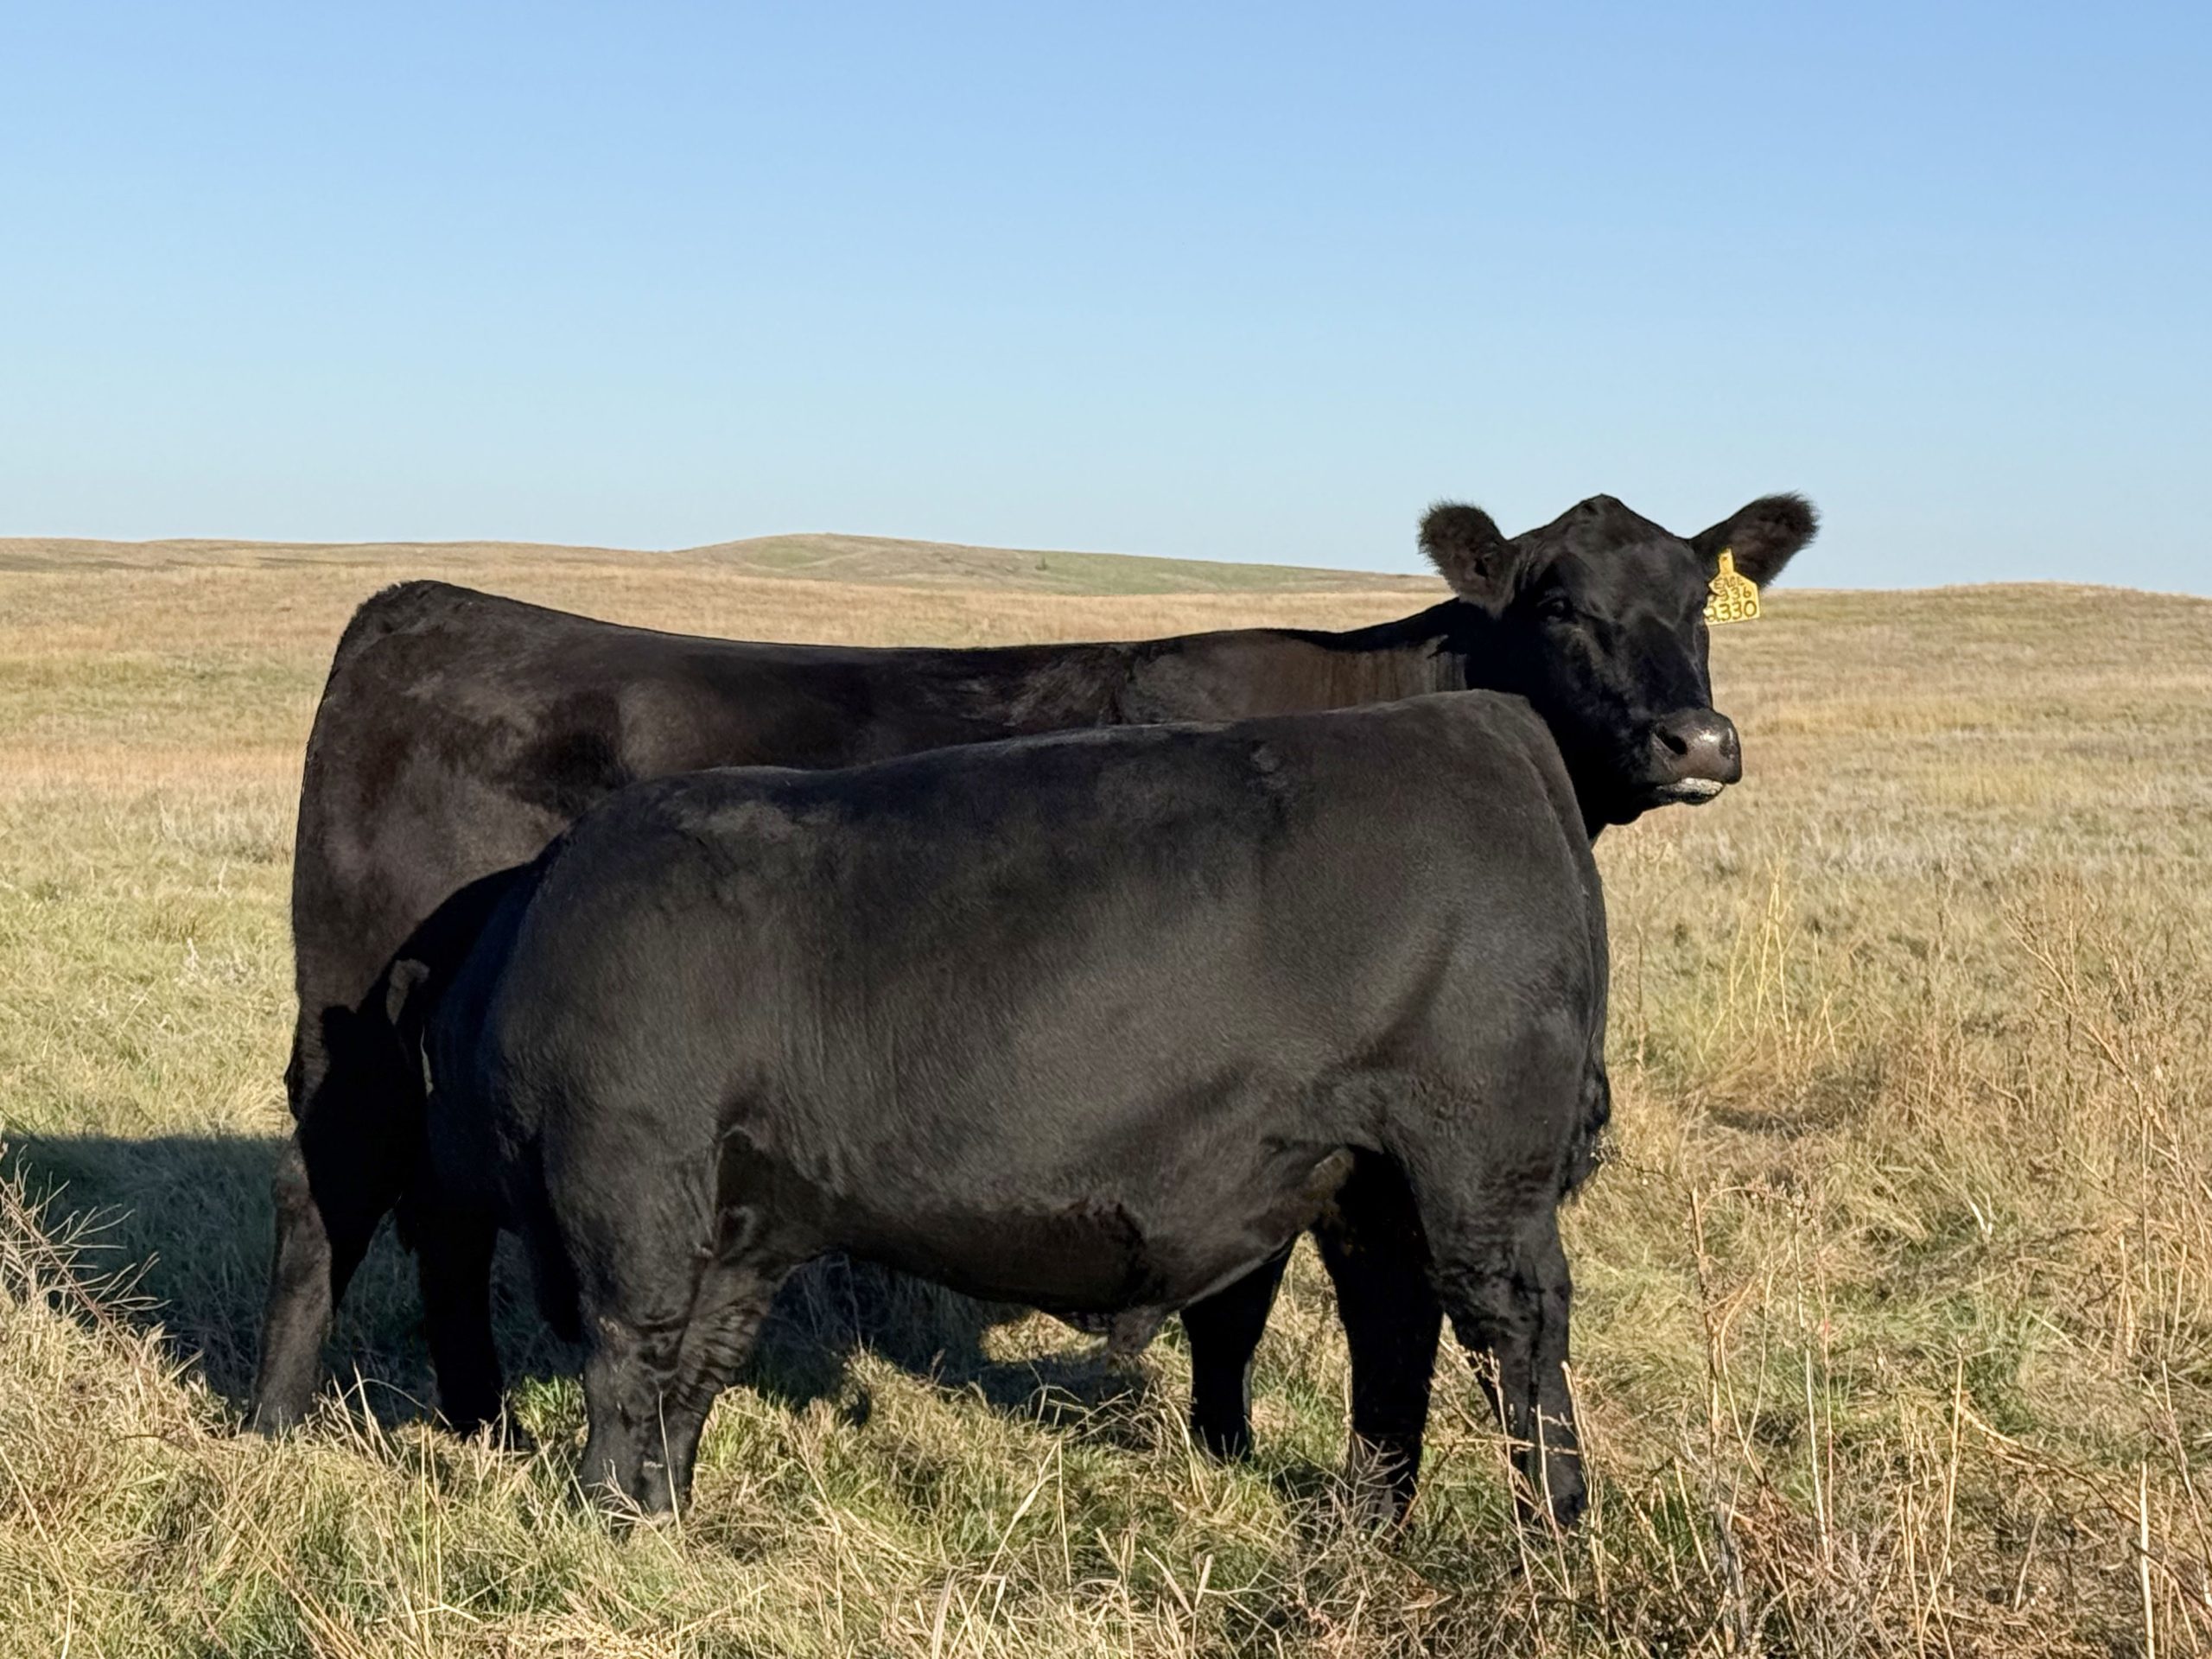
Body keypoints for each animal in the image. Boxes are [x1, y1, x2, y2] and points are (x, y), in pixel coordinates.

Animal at [417, 688, 1610, 1525]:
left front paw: (598, 1520)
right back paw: (1367, 1523)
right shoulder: (743, 1218)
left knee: (1514, 1330)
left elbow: (628, 1362)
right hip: (1369, 1181)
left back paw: (1549, 1529)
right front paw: (655, 1522)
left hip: (1478, 1170)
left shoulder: (627, 1183)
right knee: (1393, 1325)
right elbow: (691, 1377)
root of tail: (1483, 721)